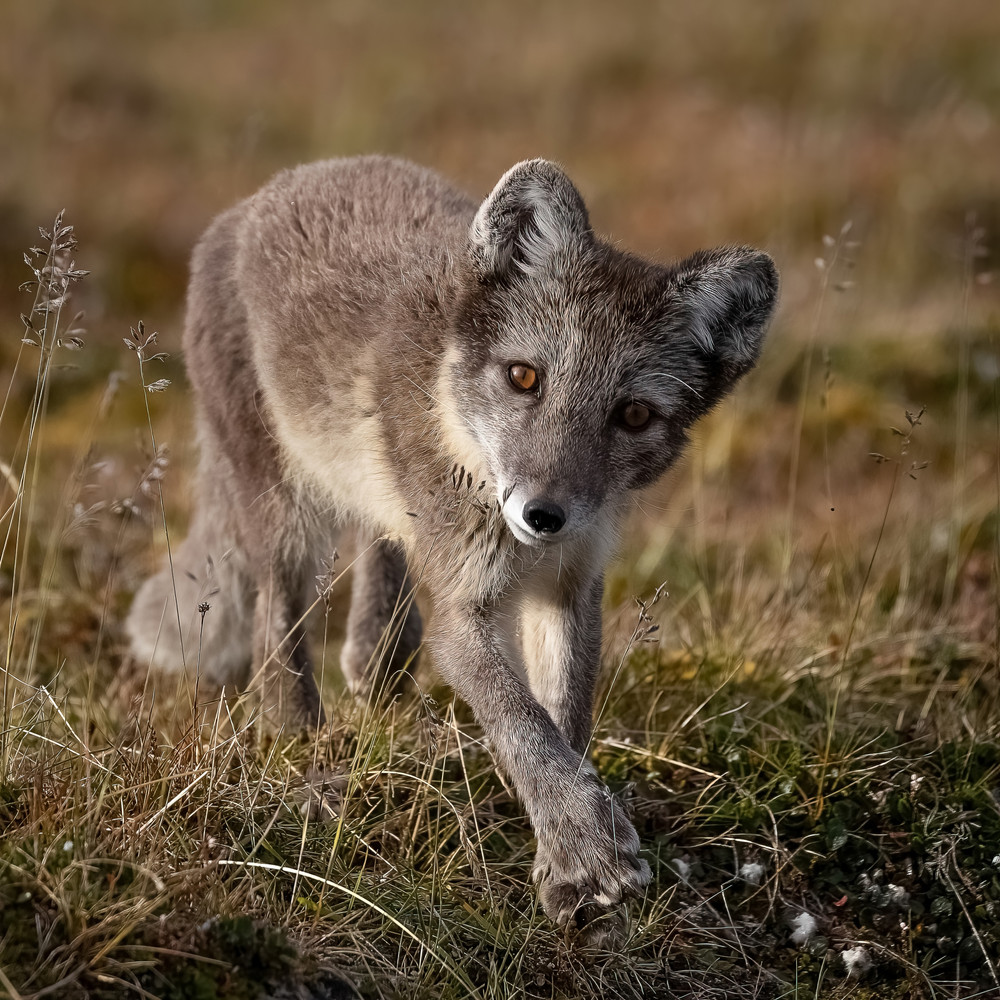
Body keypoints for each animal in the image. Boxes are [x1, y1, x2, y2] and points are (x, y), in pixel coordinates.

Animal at [126, 155, 777, 926]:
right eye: (525, 377)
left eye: (634, 415)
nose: (543, 515)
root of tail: (258, 198)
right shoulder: (462, 611)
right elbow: (523, 720)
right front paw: (587, 852)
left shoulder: (570, 587)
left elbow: (563, 721)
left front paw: (559, 852)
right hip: (285, 511)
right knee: (274, 621)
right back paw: (300, 743)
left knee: (379, 544)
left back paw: (376, 660)